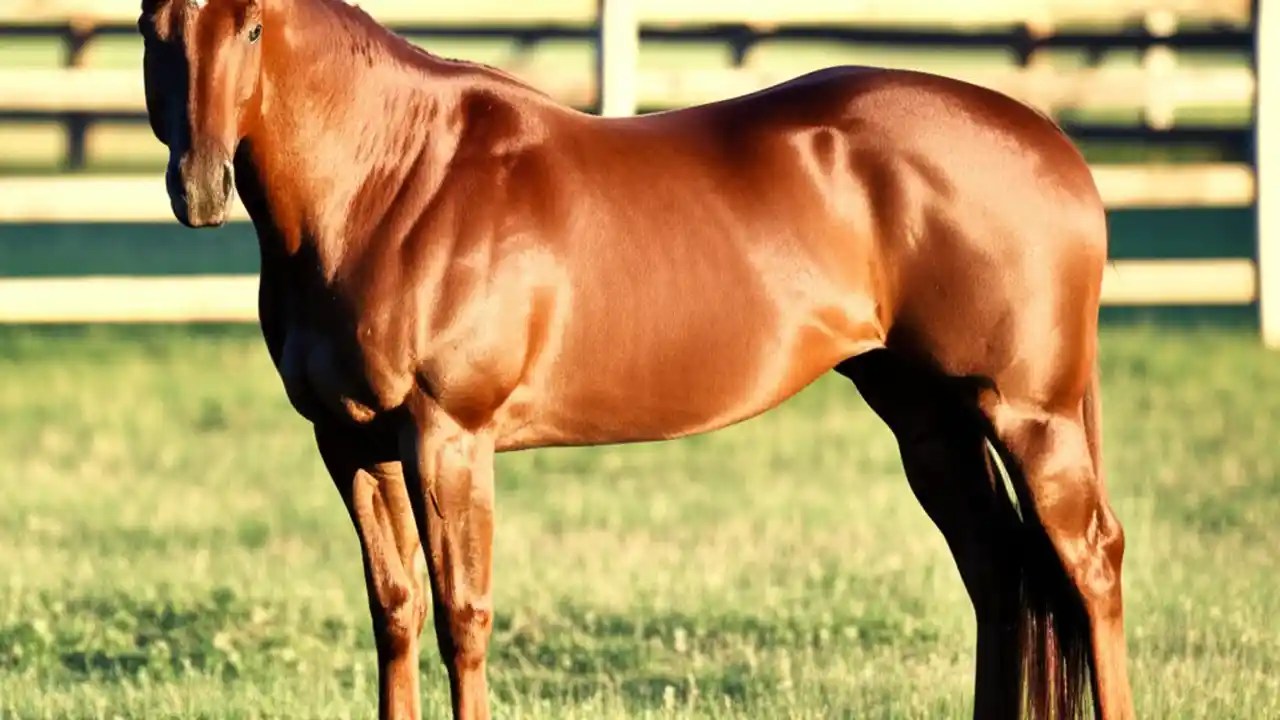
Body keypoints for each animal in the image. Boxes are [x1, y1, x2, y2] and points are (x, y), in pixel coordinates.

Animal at [136, 0, 1133, 718]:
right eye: (157, 28)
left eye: (252, 28)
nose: (200, 188)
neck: (392, 182)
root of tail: (1051, 145)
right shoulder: (351, 445)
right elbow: (395, 612)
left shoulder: (446, 438)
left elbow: (462, 615)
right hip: (929, 420)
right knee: (998, 574)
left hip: (1029, 416)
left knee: (1089, 564)